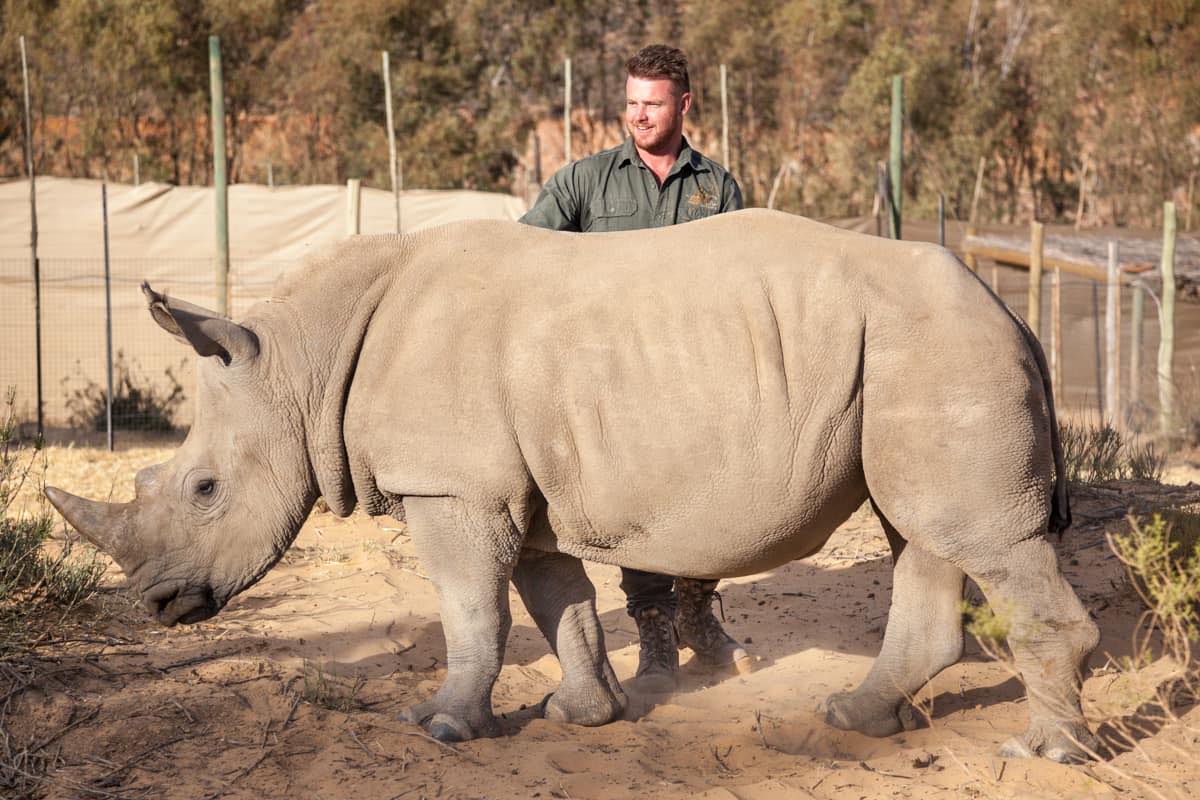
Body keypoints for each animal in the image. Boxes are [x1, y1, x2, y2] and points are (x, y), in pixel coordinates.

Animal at [46, 209, 1100, 762]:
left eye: (205, 490)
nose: (158, 606)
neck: (299, 363)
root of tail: (1008, 303)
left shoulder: (451, 485)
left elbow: (473, 606)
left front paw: (441, 726)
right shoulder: (510, 486)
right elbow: (556, 599)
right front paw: (585, 715)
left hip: (940, 346)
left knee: (973, 539)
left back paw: (1045, 754)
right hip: (911, 353)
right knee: (922, 533)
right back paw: (854, 720)